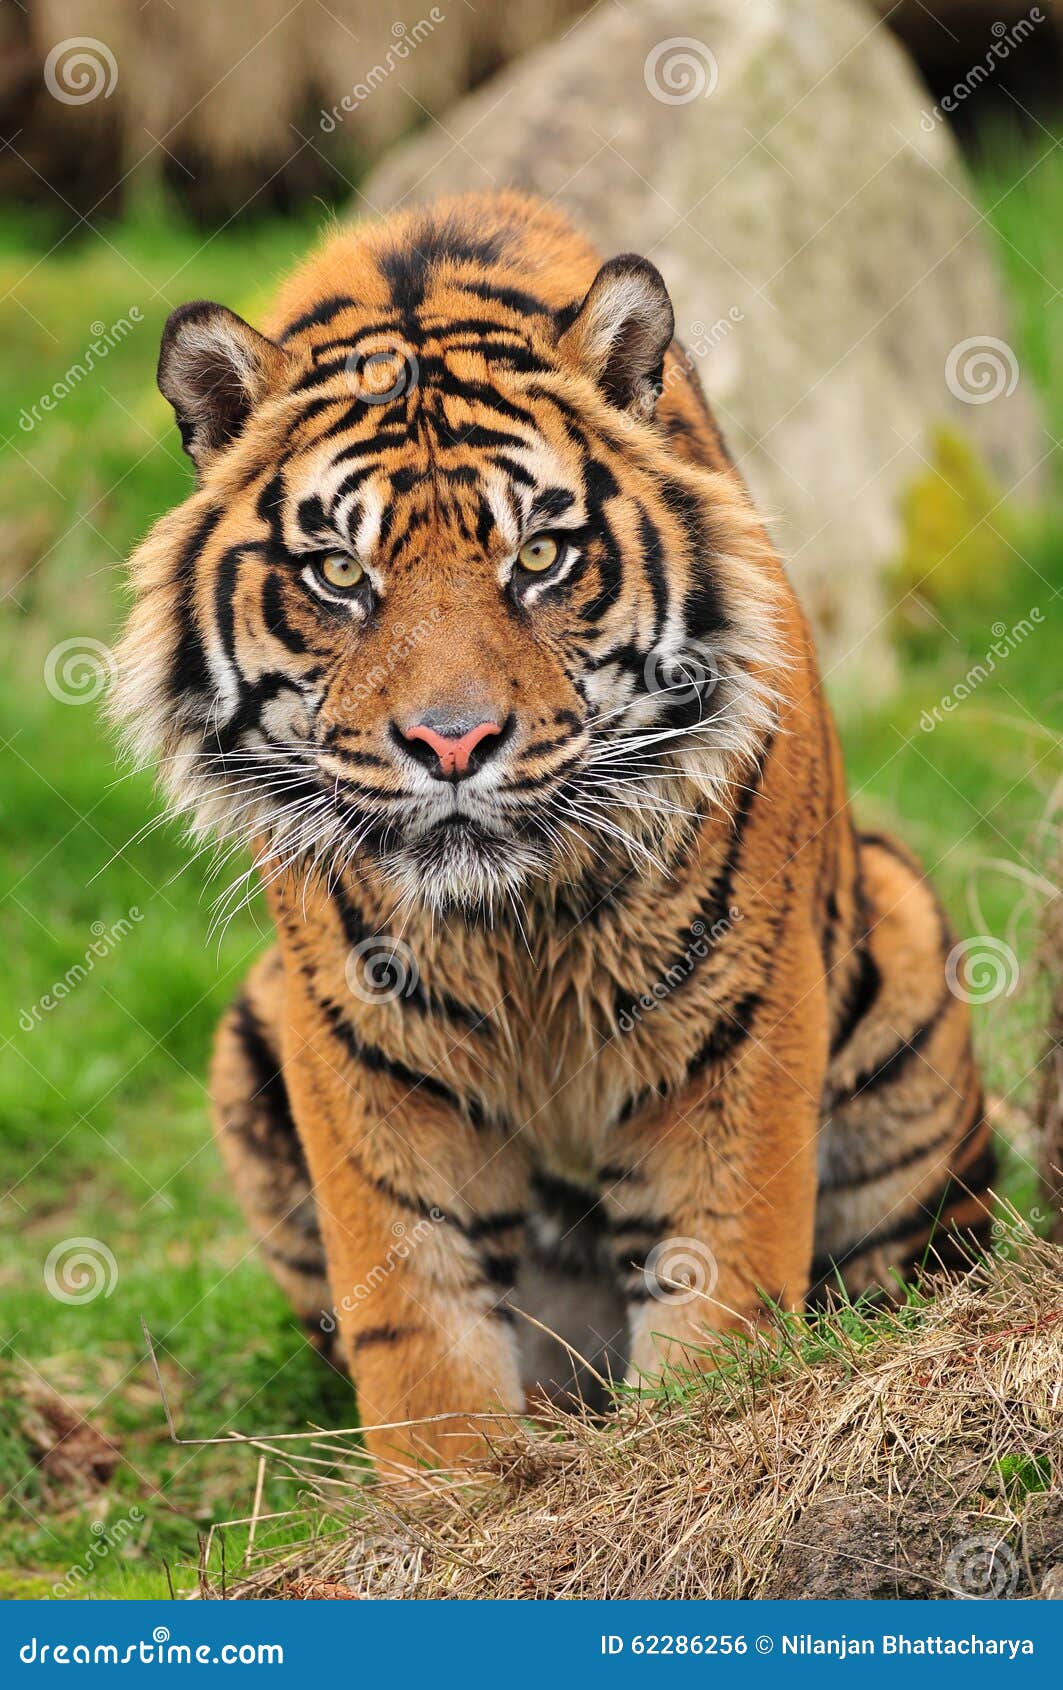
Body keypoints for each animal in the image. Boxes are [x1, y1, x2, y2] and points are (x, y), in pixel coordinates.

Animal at [113, 190, 994, 1477]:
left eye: (536, 555)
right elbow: (419, 1336)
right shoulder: (363, 1046)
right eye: (339, 573)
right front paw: (457, 1499)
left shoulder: (738, 1022)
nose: (453, 743)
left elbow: (720, 1284)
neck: (512, 924)